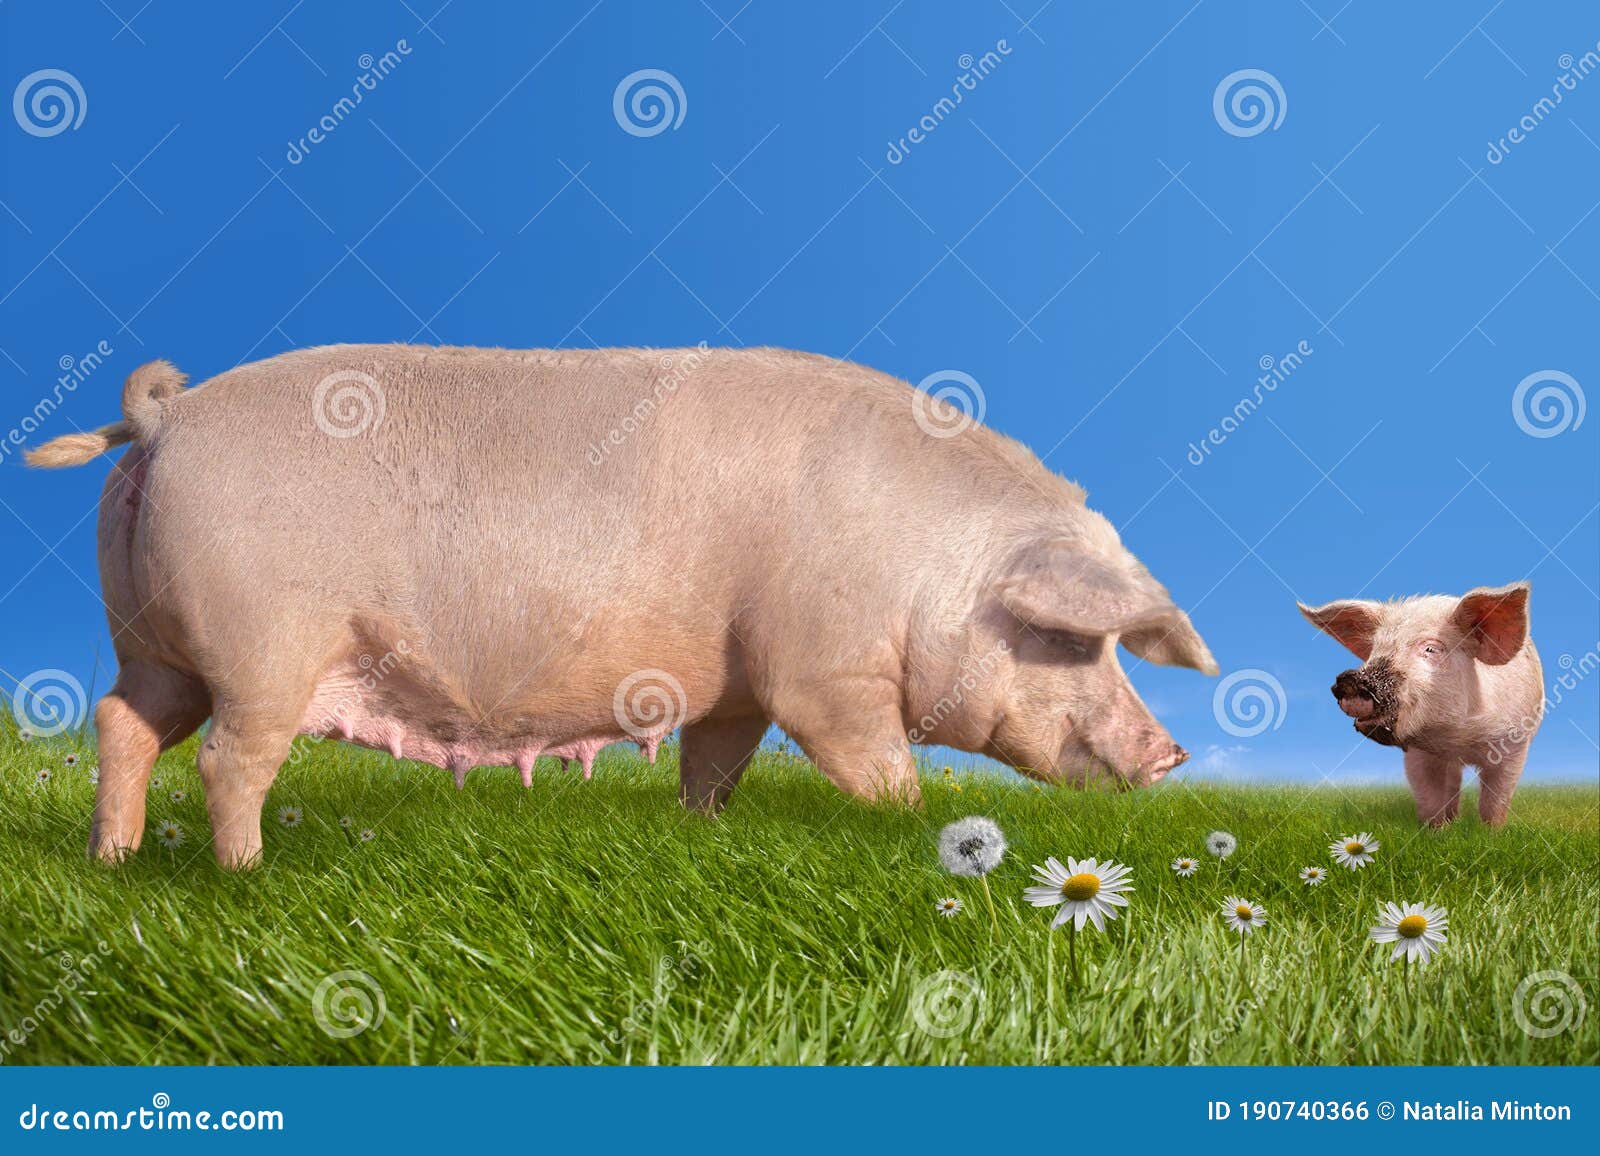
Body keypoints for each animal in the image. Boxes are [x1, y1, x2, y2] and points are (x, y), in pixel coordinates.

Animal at [28, 345, 1217, 868]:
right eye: (1066, 641)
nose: (1172, 753)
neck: (926, 568)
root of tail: (168, 416)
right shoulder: (821, 670)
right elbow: (876, 767)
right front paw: (914, 829)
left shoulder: (737, 687)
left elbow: (714, 765)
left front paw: (698, 836)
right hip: (262, 642)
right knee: (231, 759)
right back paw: (244, 875)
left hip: (156, 645)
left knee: (123, 722)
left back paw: (111, 860)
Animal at [1298, 583, 1542, 827]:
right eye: (1375, 649)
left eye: (1431, 649)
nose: (1352, 679)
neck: (1458, 739)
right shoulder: (1419, 751)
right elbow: (1430, 797)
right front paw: (1437, 831)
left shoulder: (1514, 743)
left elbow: (1495, 799)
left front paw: (1490, 831)